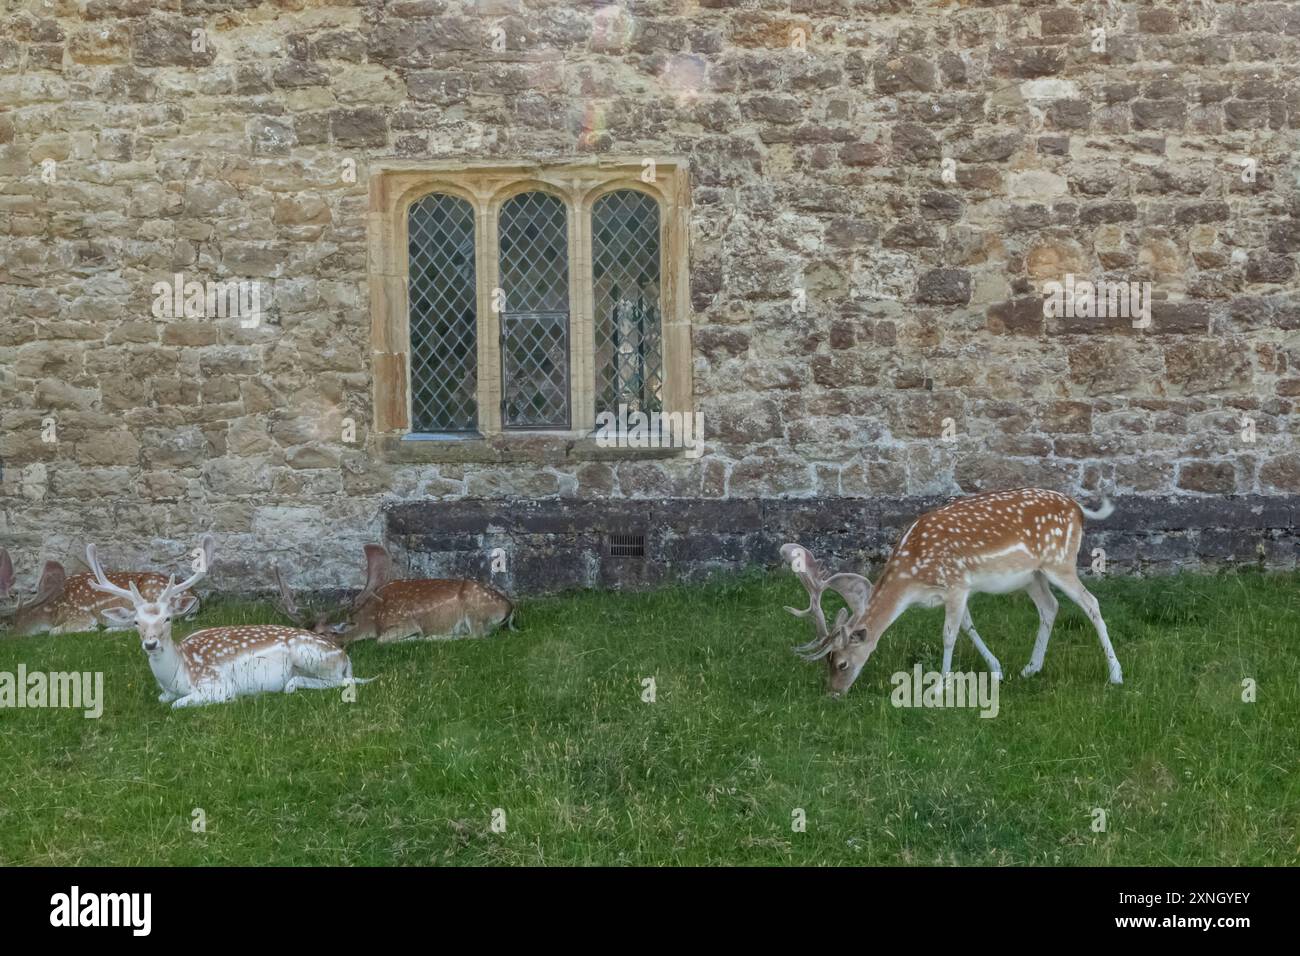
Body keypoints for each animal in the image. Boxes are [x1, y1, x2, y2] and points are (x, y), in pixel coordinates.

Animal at [0, 545, 205, 637]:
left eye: (8, 624)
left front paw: (90, 628)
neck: (51, 610)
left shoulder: (79, 614)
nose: (12, 638)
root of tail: (195, 597)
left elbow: (53, 632)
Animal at [85, 536, 371, 708]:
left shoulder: (215, 684)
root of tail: (344, 656)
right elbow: (163, 699)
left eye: (167, 618)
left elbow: (179, 704)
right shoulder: (165, 692)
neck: (178, 675)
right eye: (135, 622)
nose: (151, 644)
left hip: (310, 656)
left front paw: (232, 700)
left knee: (341, 681)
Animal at [273, 544, 515, 646]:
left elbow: (381, 641)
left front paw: (415, 637)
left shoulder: (405, 622)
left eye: (323, 635)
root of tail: (509, 607)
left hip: (475, 612)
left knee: (478, 635)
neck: (371, 619)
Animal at [782, 488, 1123, 697]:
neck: (912, 580)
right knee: (1050, 606)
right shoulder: (959, 591)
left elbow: (949, 634)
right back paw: (1031, 668)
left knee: (1091, 603)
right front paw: (996, 670)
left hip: (1059, 562)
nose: (833, 693)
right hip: (1032, 575)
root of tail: (1078, 509)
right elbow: (968, 626)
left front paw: (939, 686)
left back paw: (1116, 674)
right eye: (827, 663)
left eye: (841, 663)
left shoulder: (956, 583)